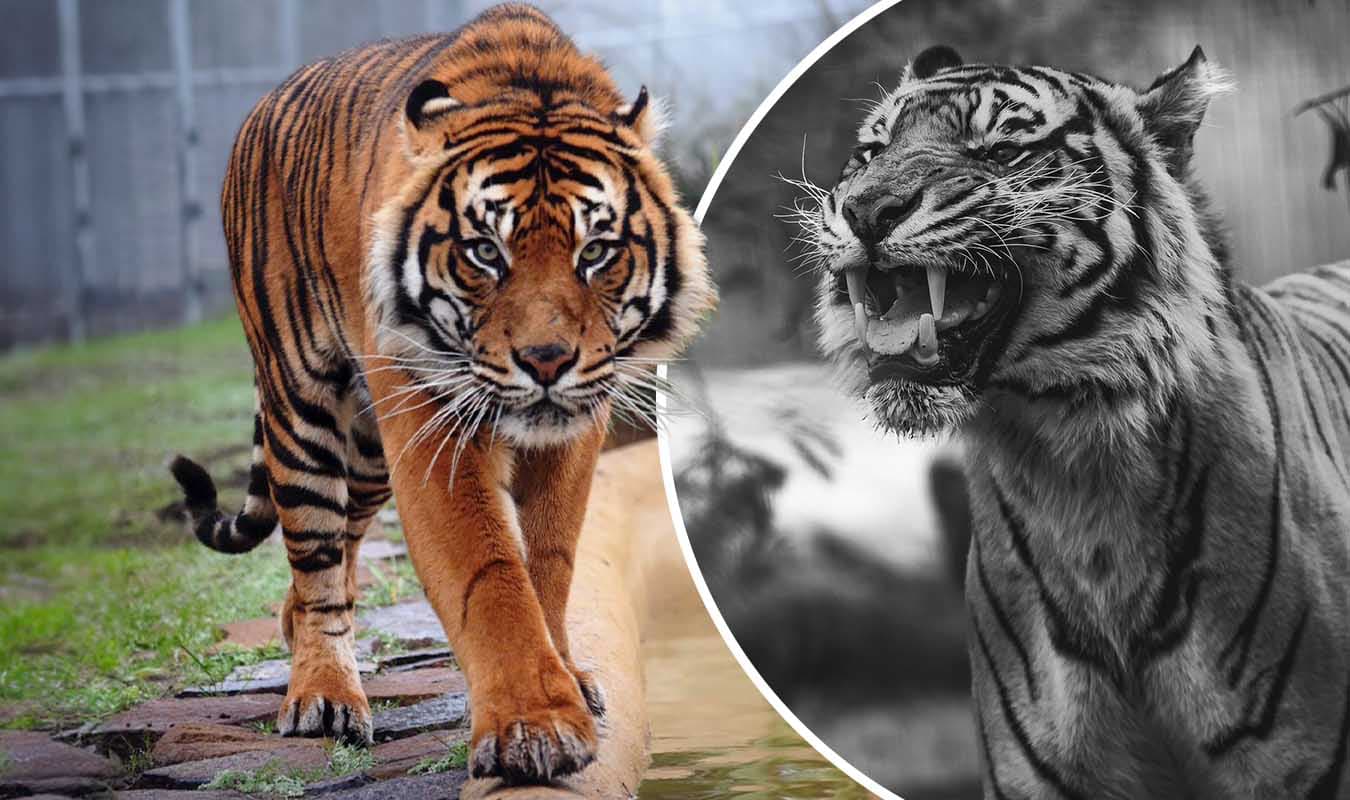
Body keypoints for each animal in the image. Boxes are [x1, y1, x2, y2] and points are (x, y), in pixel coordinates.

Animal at [167, 4, 712, 784]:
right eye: (486, 252)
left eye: (596, 252)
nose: (546, 361)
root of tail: (264, 106)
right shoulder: (433, 428)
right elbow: (490, 573)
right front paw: (534, 727)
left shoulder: (576, 427)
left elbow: (549, 561)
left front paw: (567, 679)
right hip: (301, 406)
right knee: (315, 552)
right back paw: (323, 695)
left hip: (368, 453)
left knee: (342, 543)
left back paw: (293, 629)